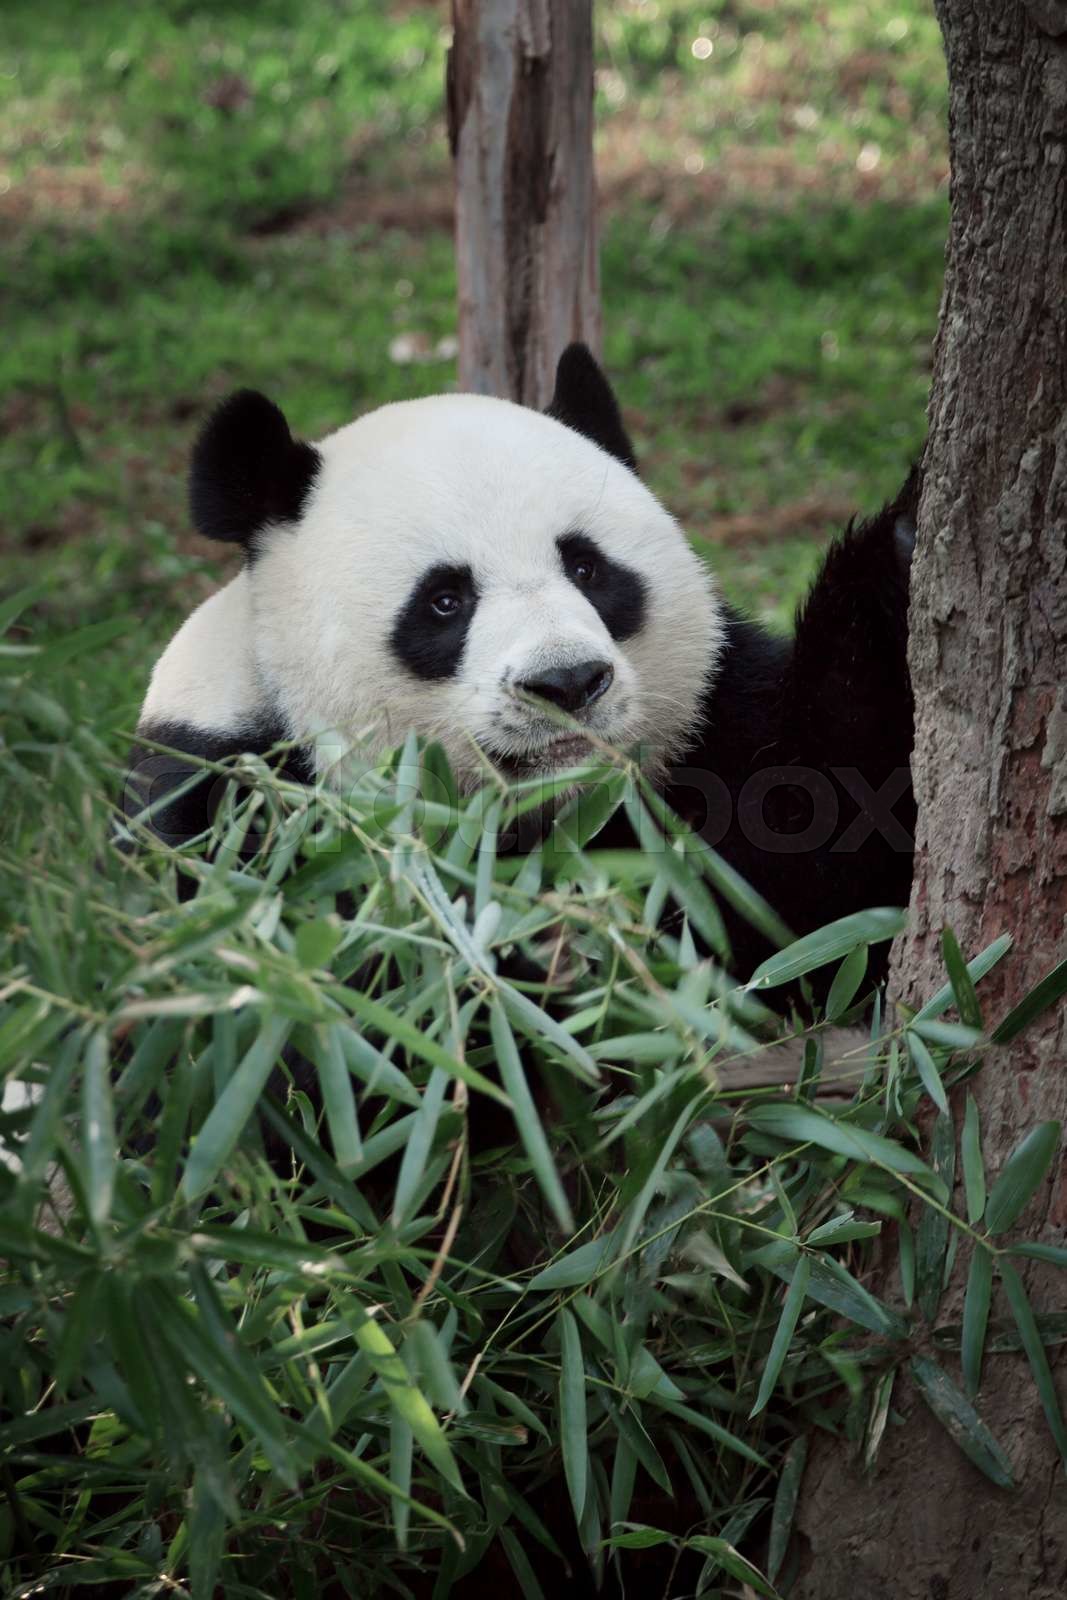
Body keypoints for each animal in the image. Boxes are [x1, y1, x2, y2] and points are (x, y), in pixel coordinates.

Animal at [126, 343, 916, 982]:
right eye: (445, 601)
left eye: (588, 568)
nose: (566, 683)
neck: (550, 815)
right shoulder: (233, 800)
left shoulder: (717, 727)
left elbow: (820, 869)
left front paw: (905, 546)